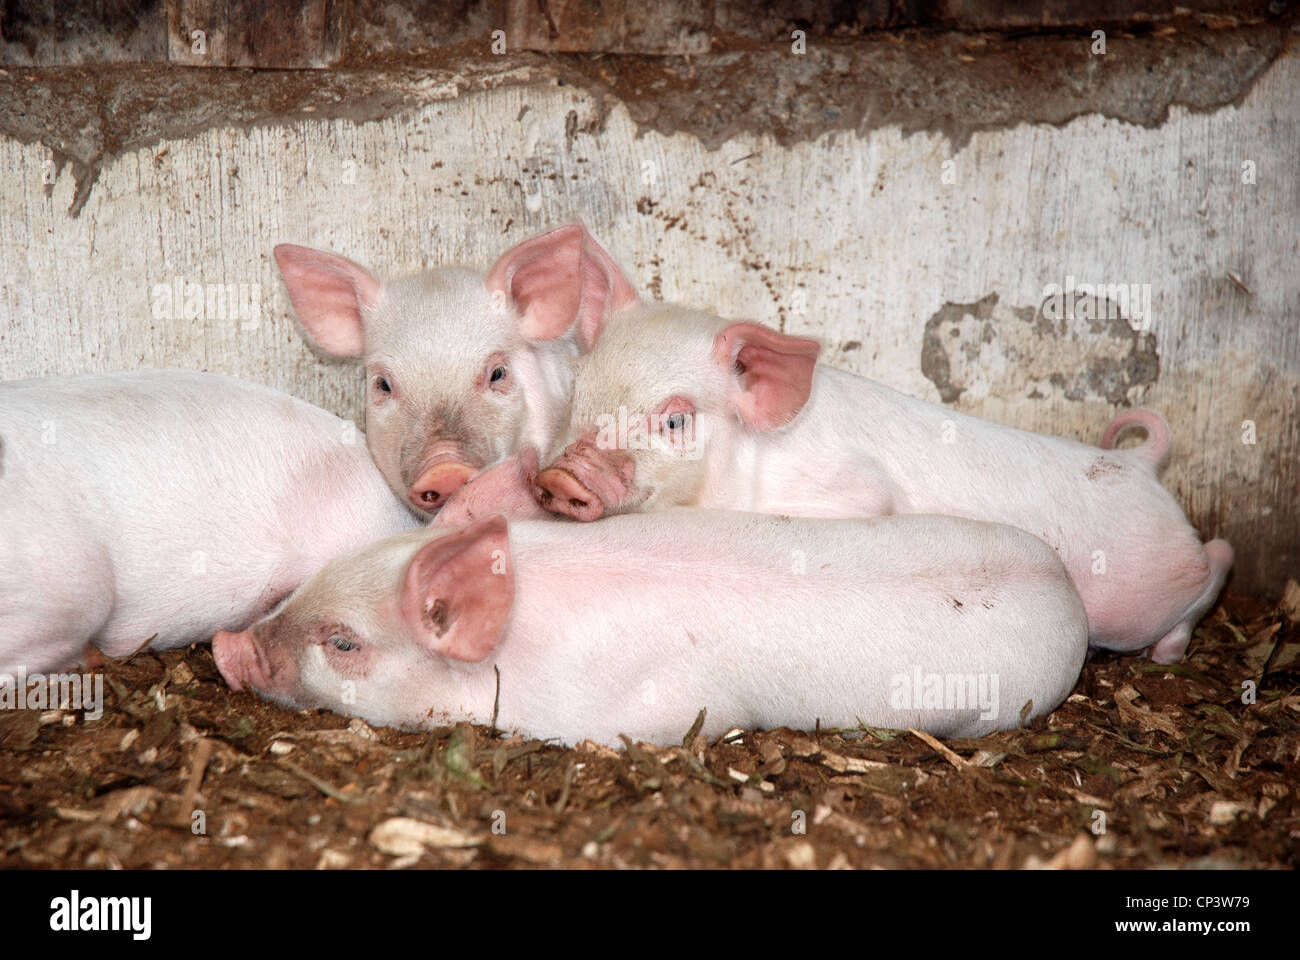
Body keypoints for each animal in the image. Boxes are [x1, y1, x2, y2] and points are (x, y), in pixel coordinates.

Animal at [532, 304, 1233, 664]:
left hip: (1144, 593)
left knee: (1218, 559)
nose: (560, 476)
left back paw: (1168, 653)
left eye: (675, 418)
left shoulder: (852, 488)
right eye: (578, 392)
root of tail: (1143, 467)